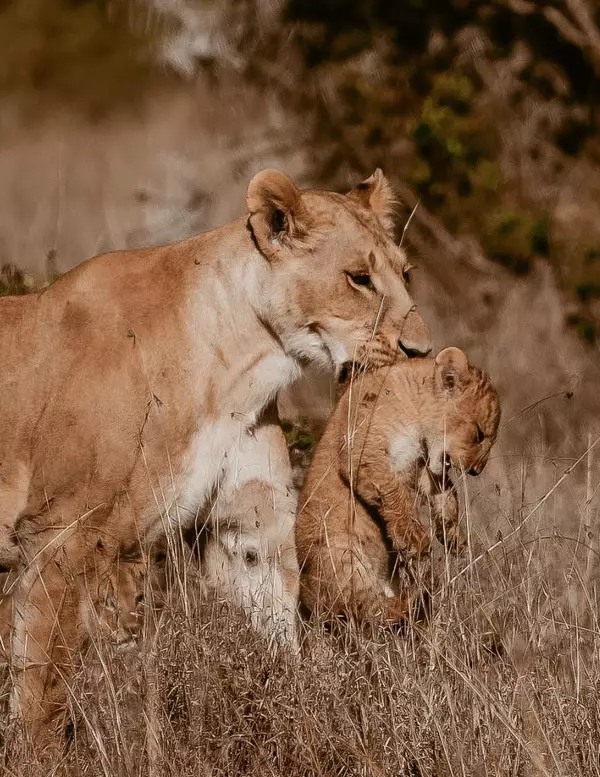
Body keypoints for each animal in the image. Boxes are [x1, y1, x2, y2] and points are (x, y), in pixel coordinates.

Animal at [0, 168, 432, 740]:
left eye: (406, 274)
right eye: (359, 278)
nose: (422, 351)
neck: (241, 365)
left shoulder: (247, 530)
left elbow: (278, 624)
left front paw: (309, 713)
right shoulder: (58, 535)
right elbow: (42, 686)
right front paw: (34, 750)